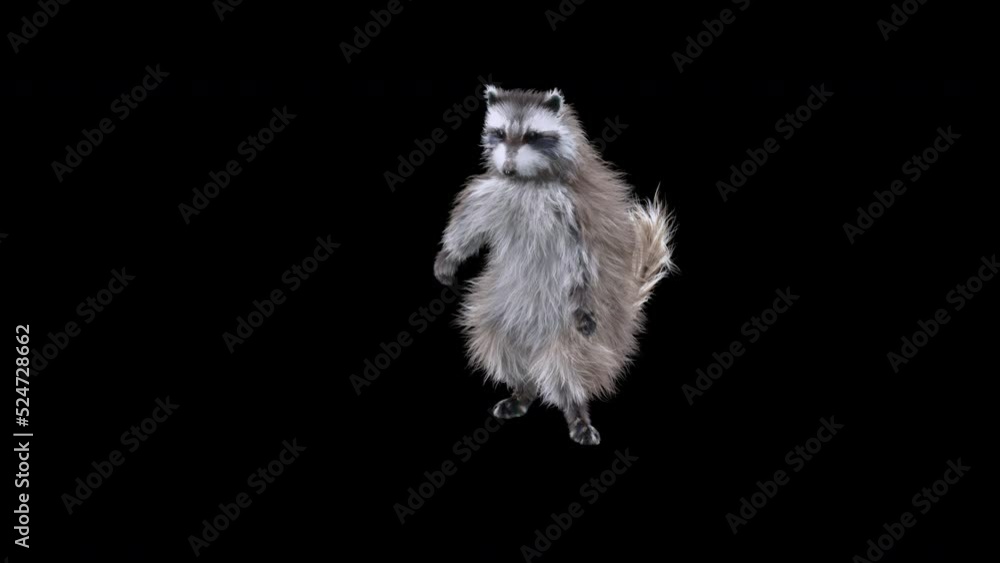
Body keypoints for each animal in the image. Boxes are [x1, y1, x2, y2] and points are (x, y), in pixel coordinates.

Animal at [434, 85, 675, 445]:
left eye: (532, 136)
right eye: (500, 133)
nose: (508, 167)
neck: (526, 181)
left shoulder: (574, 210)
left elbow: (582, 260)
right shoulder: (493, 192)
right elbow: (468, 225)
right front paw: (448, 257)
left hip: (568, 322)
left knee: (568, 362)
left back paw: (575, 409)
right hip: (496, 305)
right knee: (497, 342)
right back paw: (522, 388)